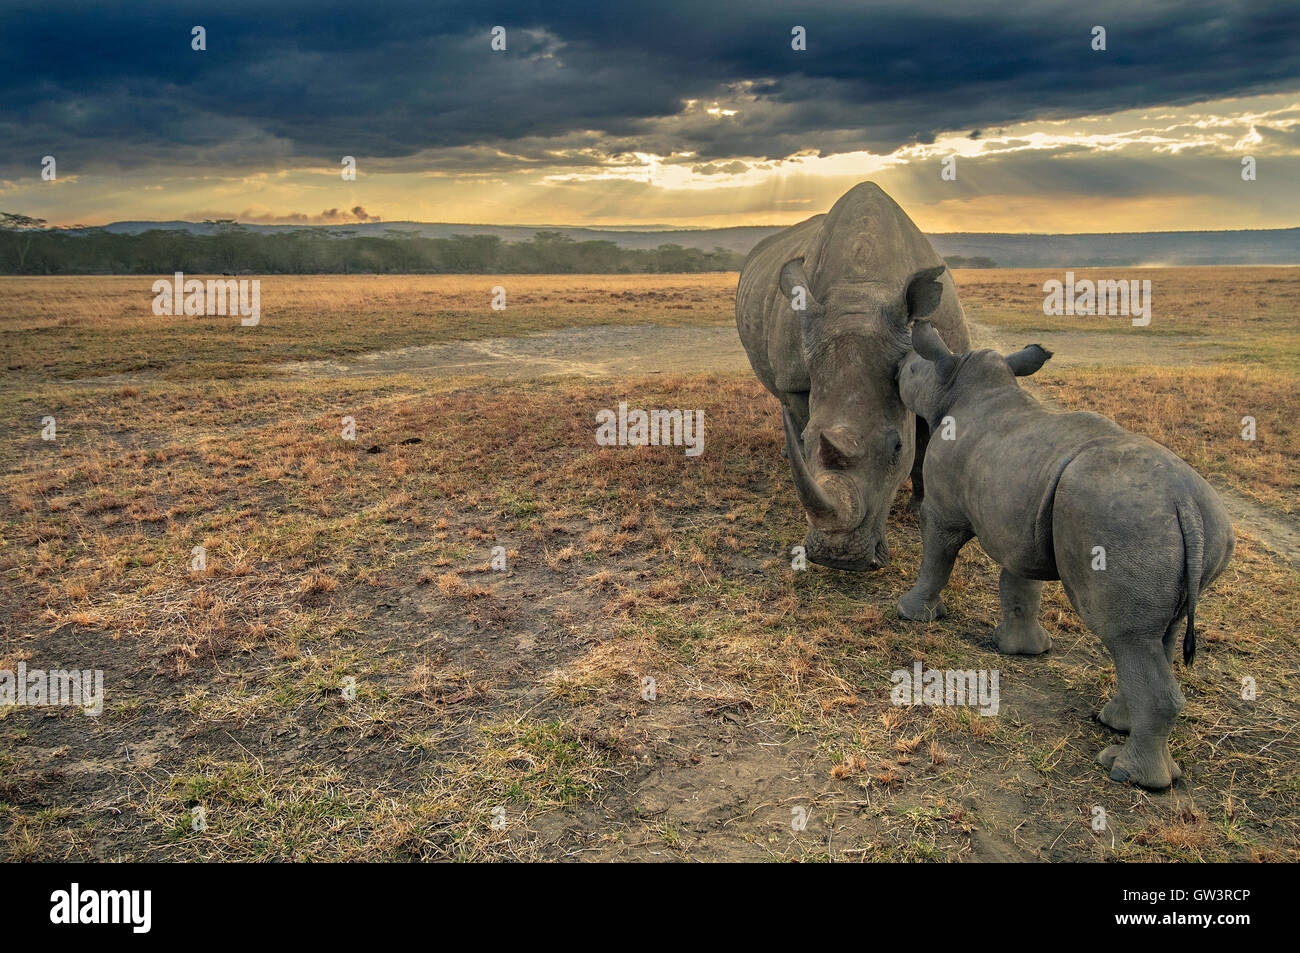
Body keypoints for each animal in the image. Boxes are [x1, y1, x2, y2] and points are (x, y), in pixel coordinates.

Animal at [736, 182, 970, 571]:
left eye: (897, 447)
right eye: (807, 439)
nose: (839, 558)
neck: (863, 293)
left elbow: (924, 443)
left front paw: (919, 508)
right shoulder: (796, 379)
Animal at [896, 323, 1234, 789]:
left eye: (912, 370)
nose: (895, 366)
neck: (956, 381)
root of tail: (1185, 504)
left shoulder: (945, 508)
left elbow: (936, 556)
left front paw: (911, 614)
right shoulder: (1024, 517)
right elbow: (1020, 586)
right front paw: (1020, 649)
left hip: (1125, 525)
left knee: (1126, 636)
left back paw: (1126, 774)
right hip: (1198, 530)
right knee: (1154, 636)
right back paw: (1114, 725)